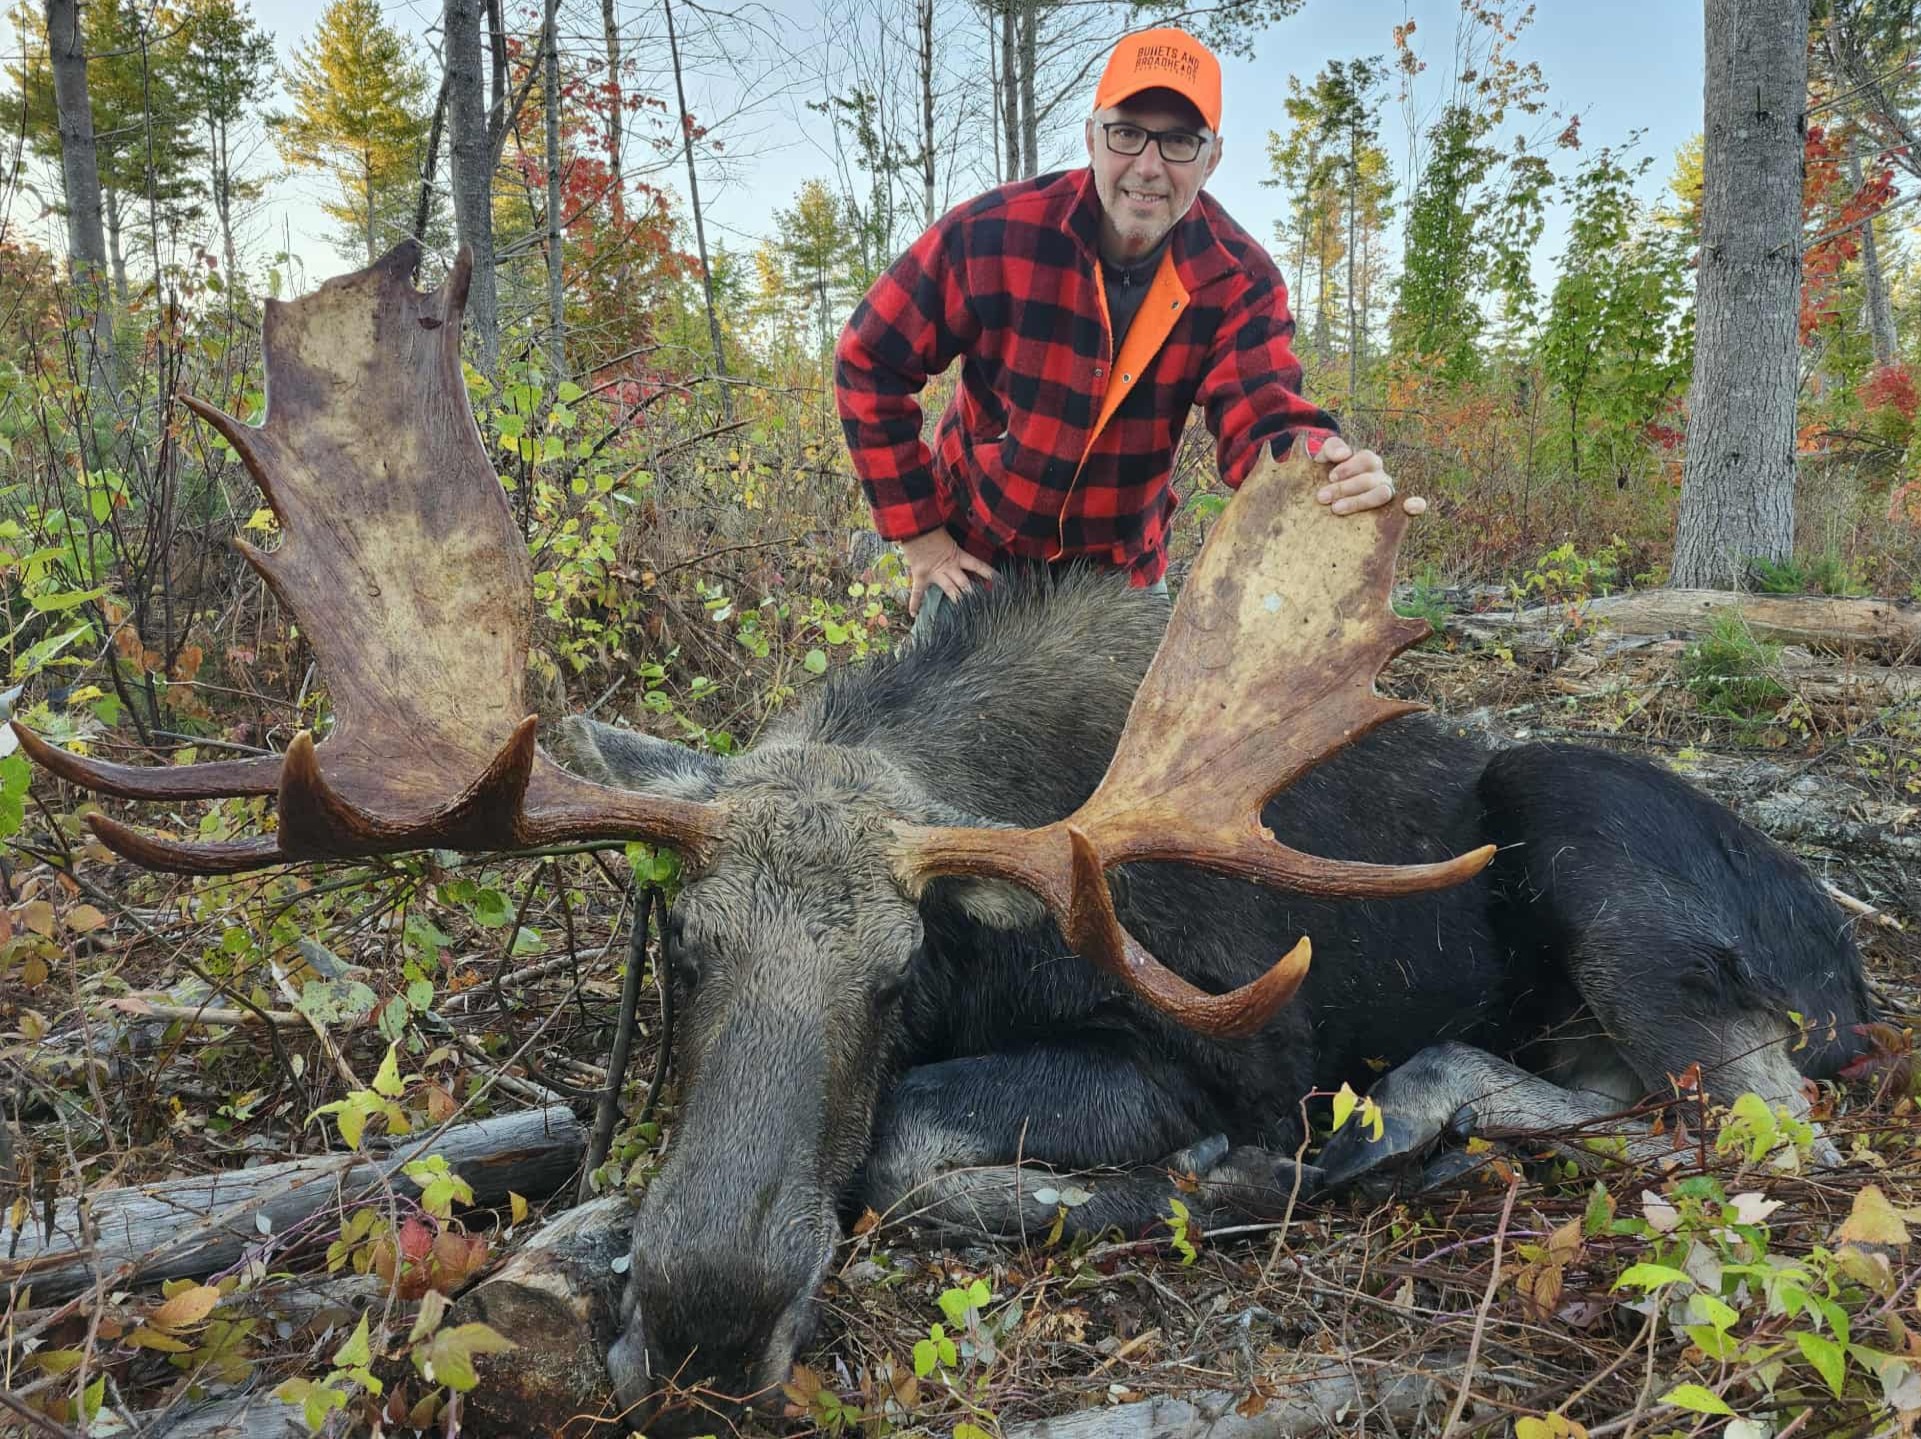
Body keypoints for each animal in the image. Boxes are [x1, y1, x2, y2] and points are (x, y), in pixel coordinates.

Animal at [16, 245, 1875, 1435]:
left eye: (903, 969)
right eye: (679, 943)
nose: (709, 1307)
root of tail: (1844, 945)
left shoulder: (1210, 1045)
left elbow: (912, 1138)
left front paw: (1164, 1175)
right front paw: (574, 1245)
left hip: (1600, 861)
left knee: (1752, 1124)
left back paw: (1385, 1126)